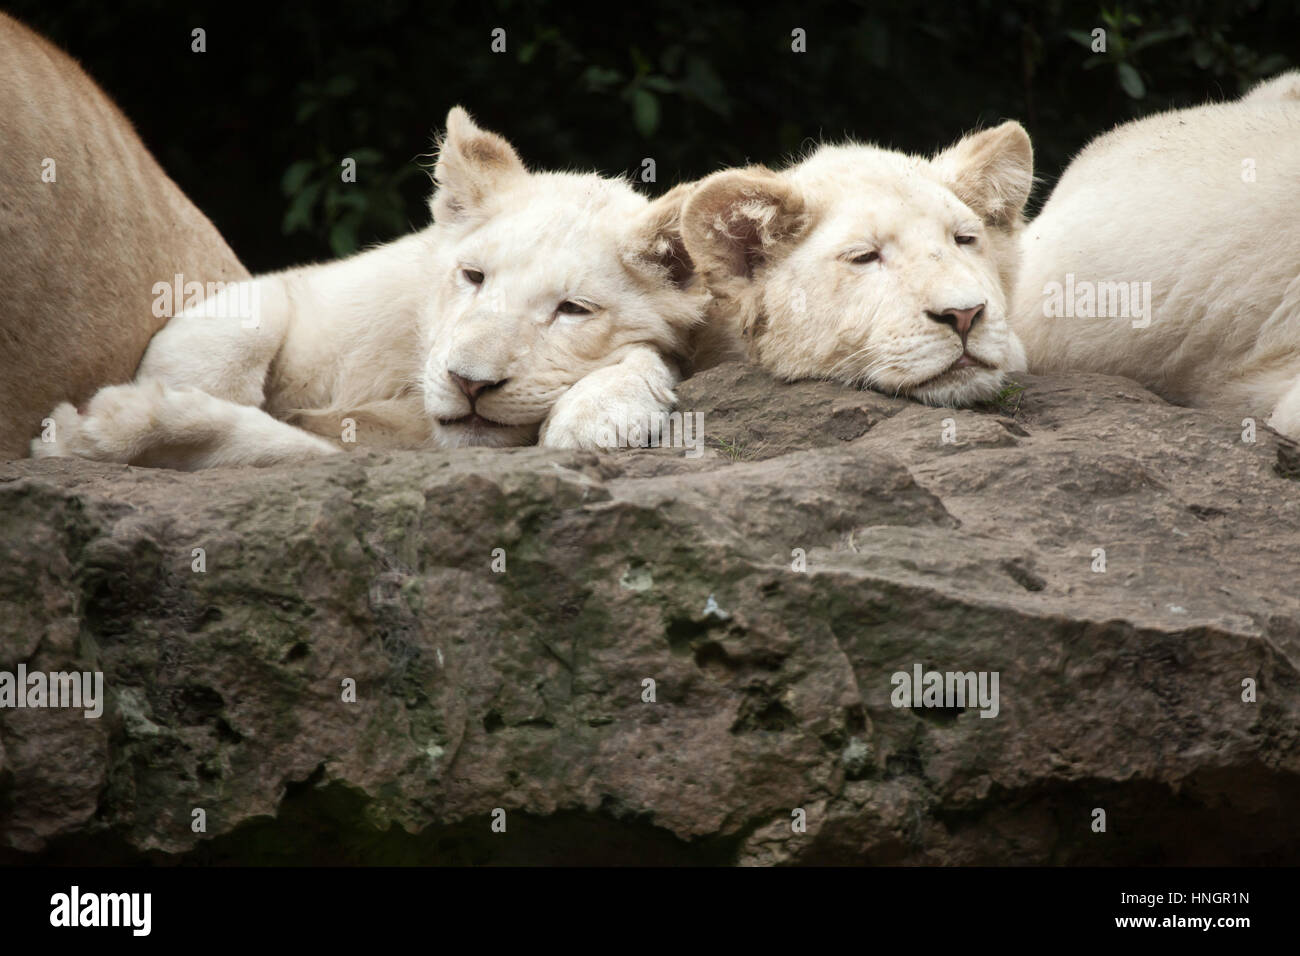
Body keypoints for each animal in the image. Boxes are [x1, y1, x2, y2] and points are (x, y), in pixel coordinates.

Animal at [32, 107, 705, 469]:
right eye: (473, 277)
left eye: (572, 310)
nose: (469, 383)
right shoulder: (298, 289)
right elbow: (234, 340)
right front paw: (102, 425)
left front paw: (598, 414)